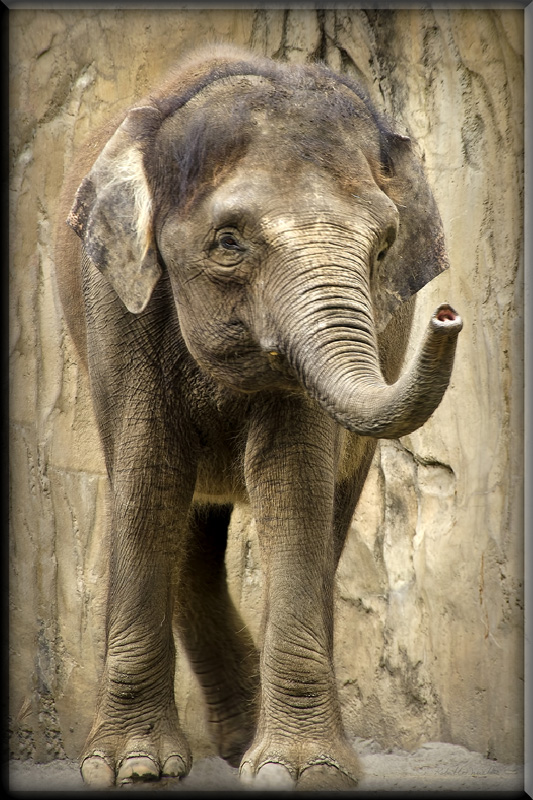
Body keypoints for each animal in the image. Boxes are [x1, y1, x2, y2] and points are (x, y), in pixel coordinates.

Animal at [54, 44, 462, 790]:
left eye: (383, 246)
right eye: (228, 243)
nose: (448, 315)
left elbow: (293, 484)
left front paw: (302, 771)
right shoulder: (115, 308)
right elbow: (148, 477)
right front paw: (131, 768)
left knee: (321, 517)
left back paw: (257, 741)